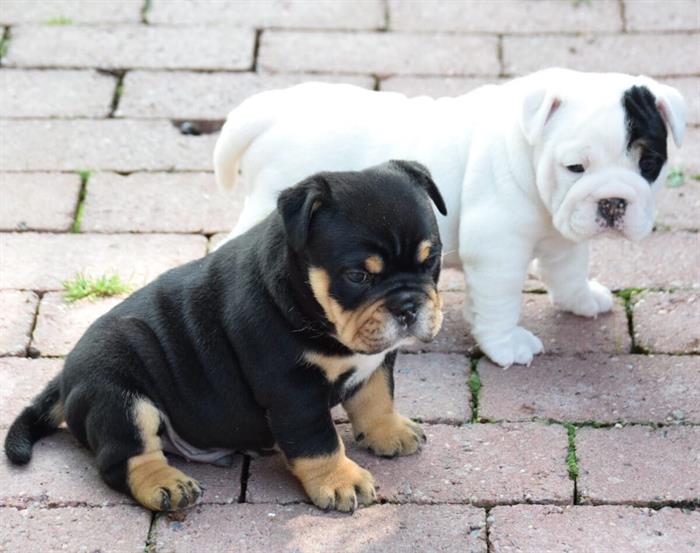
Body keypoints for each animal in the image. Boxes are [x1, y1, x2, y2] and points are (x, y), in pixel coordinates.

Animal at [2, 160, 446, 512]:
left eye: (432, 260)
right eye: (357, 276)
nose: (408, 306)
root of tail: (64, 378)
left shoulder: (378, 361)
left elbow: (377, 398)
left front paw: (389, 431)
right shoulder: (293, 391)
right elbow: (319, 441)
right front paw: (340, 480)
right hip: (118, 395)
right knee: (123, 458)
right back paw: (166, 484)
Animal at [212, 68, 684, 366]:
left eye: (650, 163)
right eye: (575, 167)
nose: (613, 202)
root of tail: (272, 112)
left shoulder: (563, 236)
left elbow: (569, 270)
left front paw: (581, 299)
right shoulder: (498, 252)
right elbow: (500, 301)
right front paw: (505, 345)